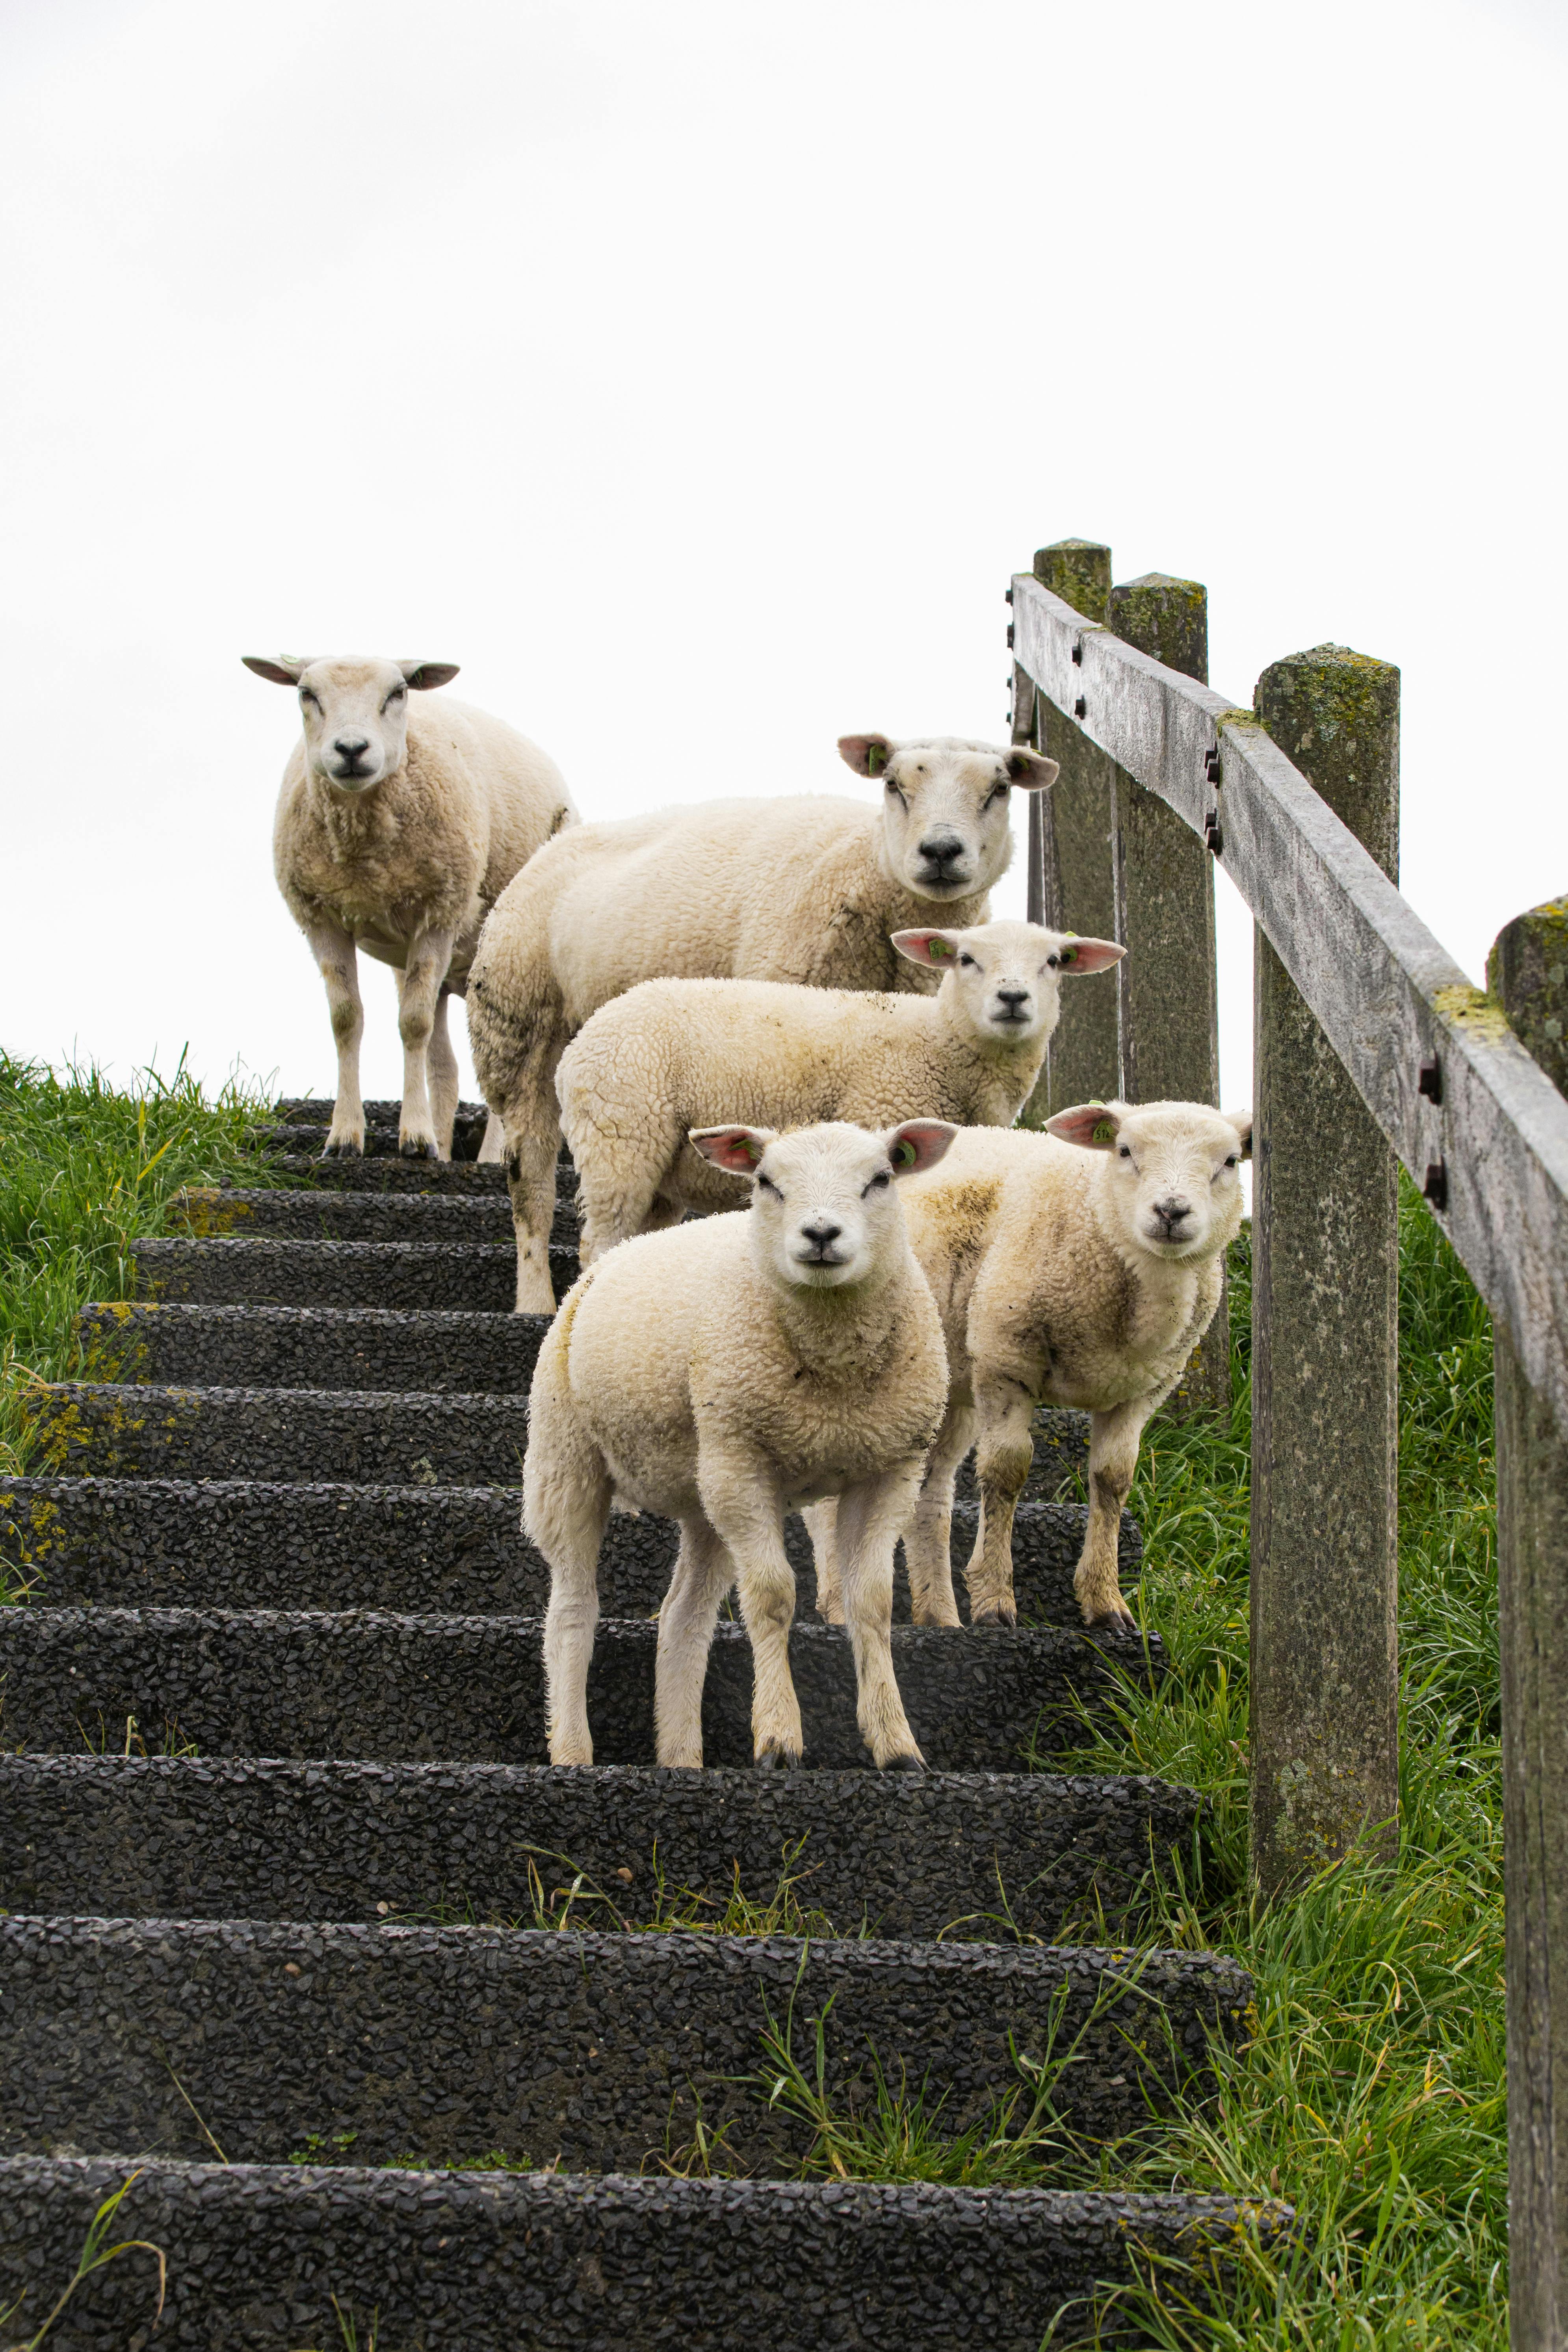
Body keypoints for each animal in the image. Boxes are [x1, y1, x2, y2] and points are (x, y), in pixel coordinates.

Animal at [248, 654, 577, 1161]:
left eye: (397, 693)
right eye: (306, 693)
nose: (351, 749)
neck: (363, 851)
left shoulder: (440, 913)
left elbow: (413, 1025)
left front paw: (416, 1139)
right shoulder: (320, 917)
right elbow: (346, 1021)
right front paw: (345, 1136)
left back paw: (488, 1156)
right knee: (445, 1066)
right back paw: (444, 1143)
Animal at [467, 732, 1059, 1310]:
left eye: (1000, 789)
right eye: (894, 784)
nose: (940, 852)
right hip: (521, 1031)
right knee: (533, 1182)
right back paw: (536, 1298)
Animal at [523, 1117, 957, 1771]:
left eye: (882, 1178)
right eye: (766, 1182)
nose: (821, 1234)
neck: (834, 1379)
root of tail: (609, 1260)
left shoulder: (888, 1470)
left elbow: (874, 1601)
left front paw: (896, 1743)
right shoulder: (745, 1461)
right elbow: (774, 1595)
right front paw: (778, 1737)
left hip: (705, 1485)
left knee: (684, 1615)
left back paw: (680, 1754)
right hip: (570, 1456)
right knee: (573, 1609)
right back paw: (572, 1749)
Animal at [556, 919, 1124, 1265]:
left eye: (1054, 961)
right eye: (965, 959)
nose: (1012, 998)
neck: (940, 1041)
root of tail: (579, 1045)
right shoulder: (880, 1111)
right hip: (620, 1136)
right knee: (600, 1237)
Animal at [809, 1101, 1250, 1633]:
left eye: (1230, 1161)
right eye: (1124, 1151)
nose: (1170, 1212)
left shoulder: (1140, 1391)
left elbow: (1113, 1481)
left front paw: (1105, 1602)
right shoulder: (1006, 1362)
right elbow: (1006, 1472)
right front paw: (995, 1602)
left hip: (943, 1389)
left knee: (930, 1495)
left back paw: (938, 1614)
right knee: (830, 1499)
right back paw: (838, 1606)